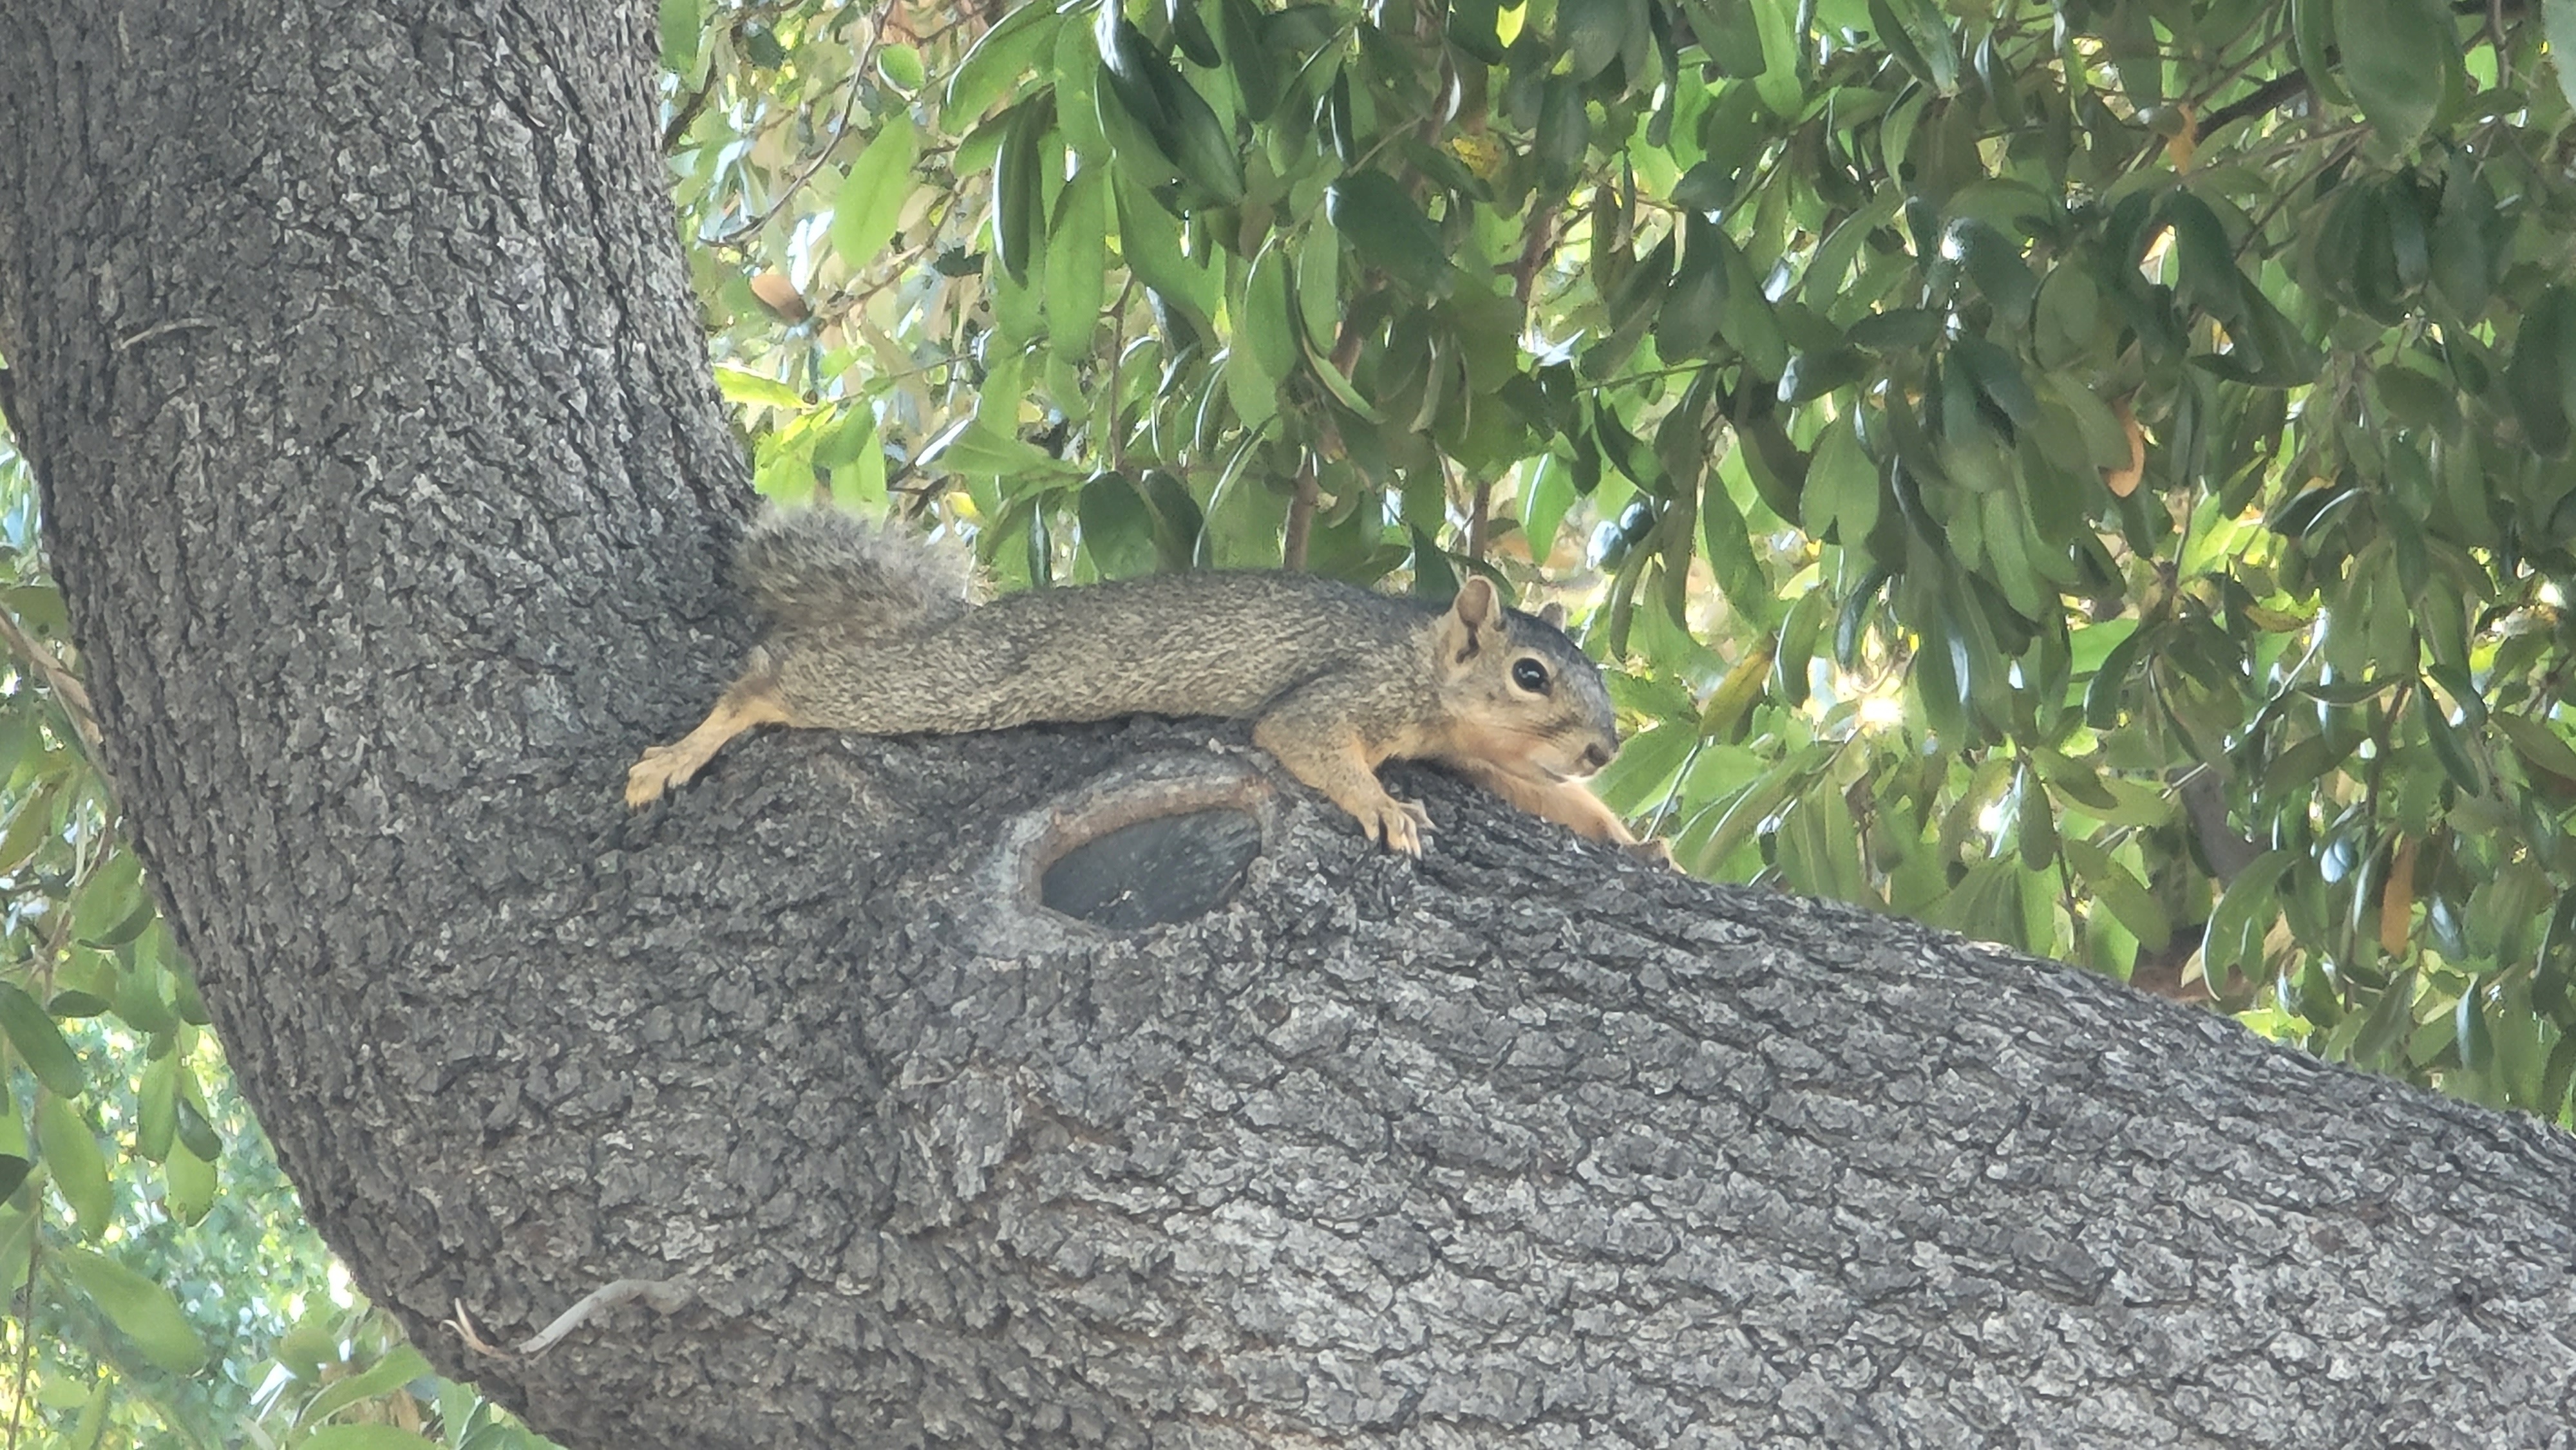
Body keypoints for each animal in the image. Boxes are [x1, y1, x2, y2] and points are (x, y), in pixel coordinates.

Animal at [625, 508, 1655, 858]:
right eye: (1530, 674)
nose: (1603, 747)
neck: (1418, 661)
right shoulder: (1343, 691)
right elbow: (1306, 741)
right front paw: (1383, 805)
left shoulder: (1477, 756)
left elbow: (1543, 795)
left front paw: (1635, 841)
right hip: (950, 684)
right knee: (782, 679)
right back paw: (681, 751)